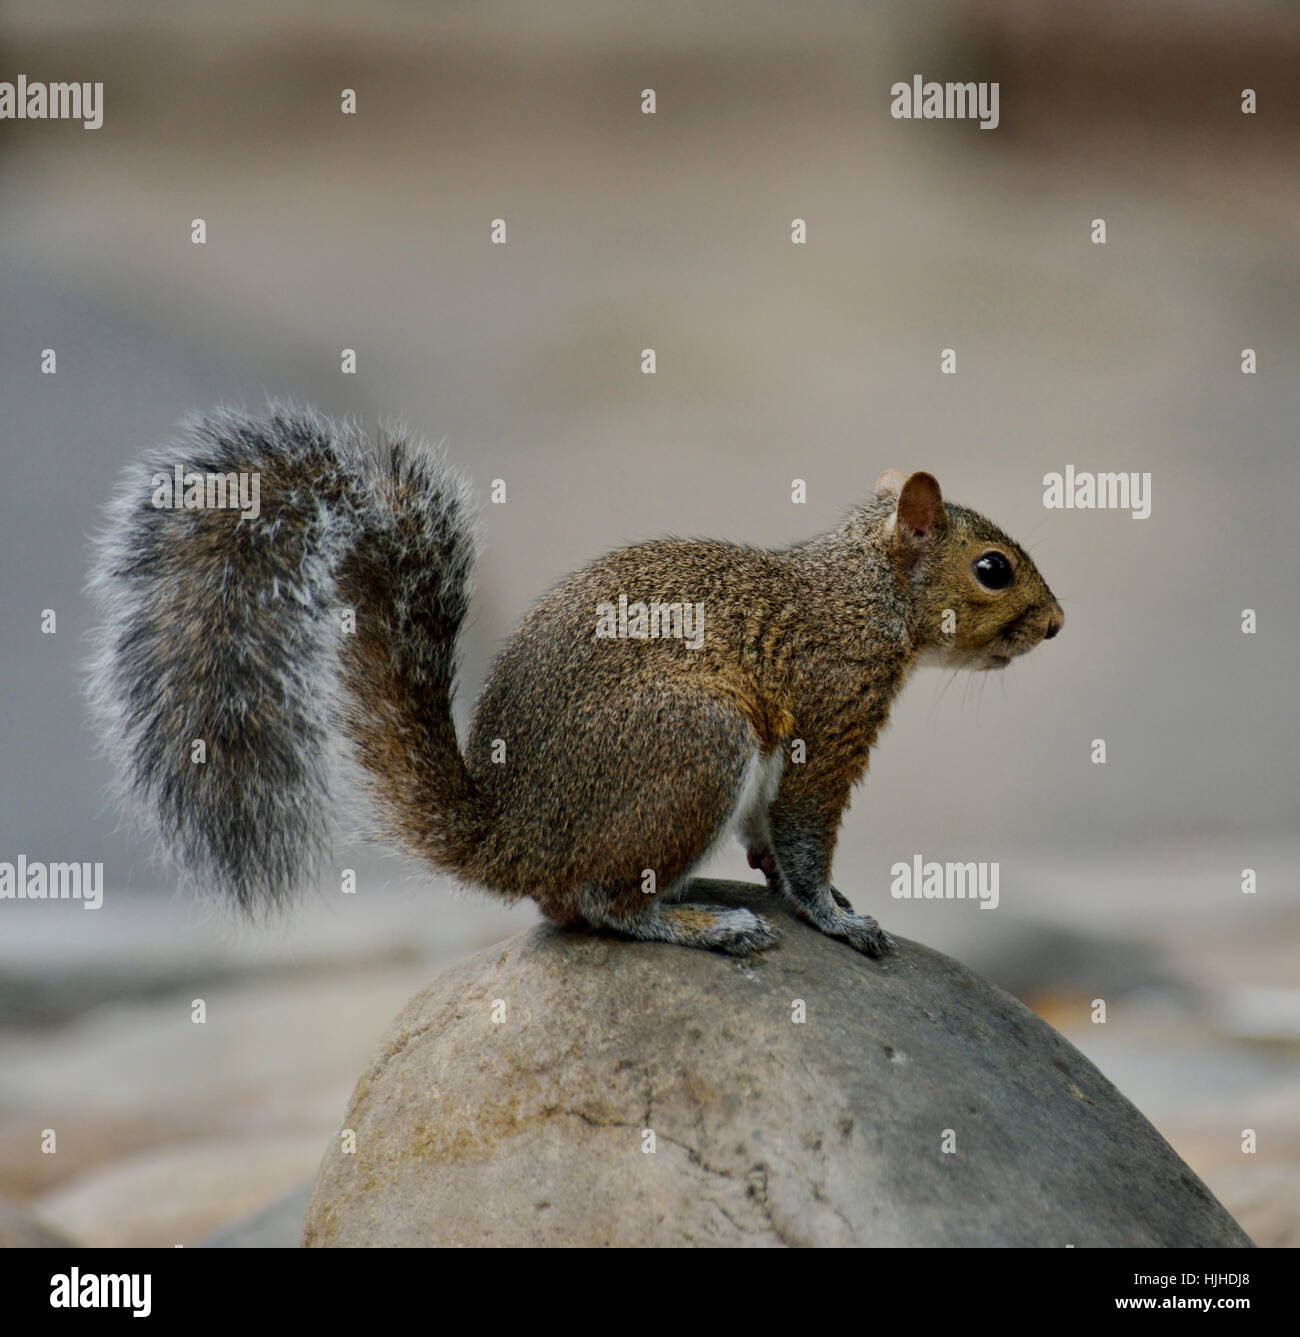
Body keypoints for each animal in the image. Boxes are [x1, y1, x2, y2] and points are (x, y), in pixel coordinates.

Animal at [87, 405, 1063, 958]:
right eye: (992, 569)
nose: (1057, 625)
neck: (866, 594)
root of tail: (513, 838)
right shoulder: (829, 714)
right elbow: (803, 836)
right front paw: (833, 916)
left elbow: (769, 839)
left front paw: (801, 889)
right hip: (693, 743)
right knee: (599, 905)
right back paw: (702, 927)